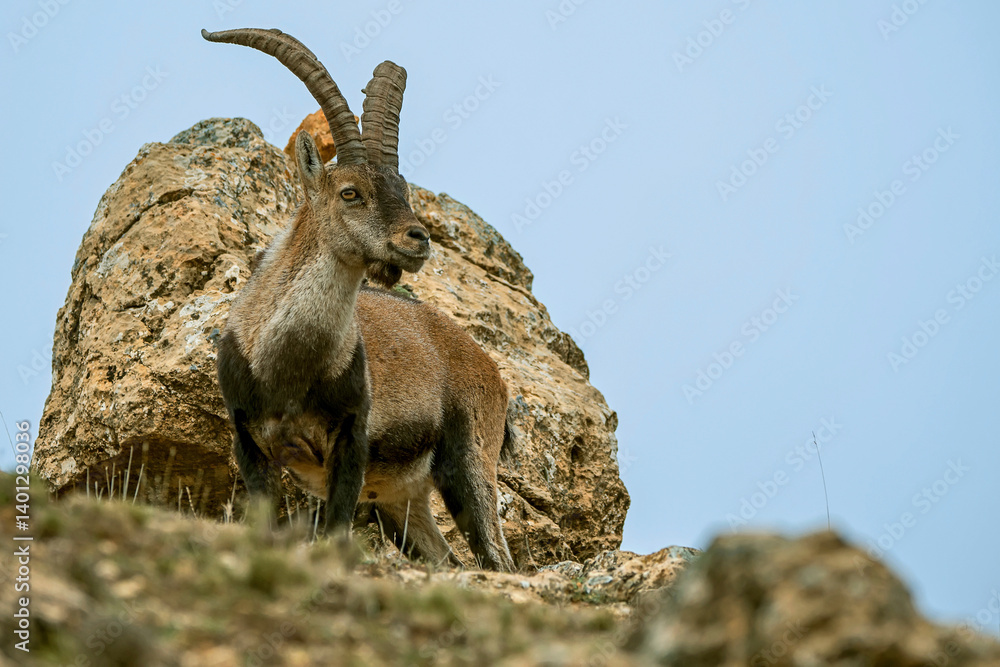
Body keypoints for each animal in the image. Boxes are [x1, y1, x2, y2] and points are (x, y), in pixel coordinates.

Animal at [203, 28, 515, 571]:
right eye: (350, 192)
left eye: (402, 189)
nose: (417, 239)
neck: (290, 362)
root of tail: (491, 372)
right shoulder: (251, 442)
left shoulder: (351, 442)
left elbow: (333, 529)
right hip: (400, 498)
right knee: (446, 560)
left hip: (471, 462)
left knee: (498, 559)